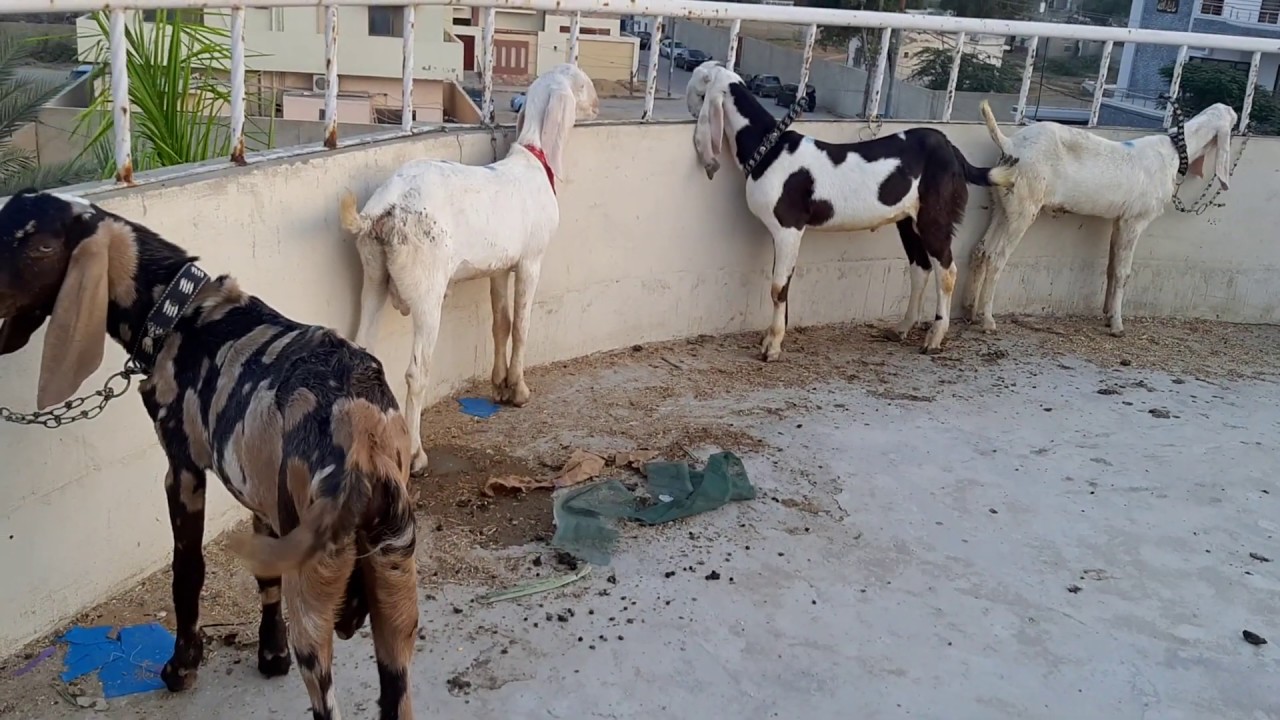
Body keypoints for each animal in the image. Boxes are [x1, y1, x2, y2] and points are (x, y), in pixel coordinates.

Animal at [0, 191, 420, 720]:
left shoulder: (181, 466)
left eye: (38, 246)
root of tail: (365, 447)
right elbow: (264, 576)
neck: (180, 313)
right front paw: (270, 655)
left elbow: (187, 569)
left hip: (316, 596)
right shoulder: (260, 491)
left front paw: (182, 667)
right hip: (396, 585)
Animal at [340, 63, 599, 473]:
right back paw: (416, 454)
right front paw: (519, 389)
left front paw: (499, 384)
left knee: (363, 345)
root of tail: (383, 210)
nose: (599, 102)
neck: (534, 161)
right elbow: (522, 324)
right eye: (583, 84)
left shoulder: (498, 267)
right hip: (427, 289)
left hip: (373, 274)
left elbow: (500, 322)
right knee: (416, 371)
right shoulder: (531, 260)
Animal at [686, 62, 1015, 358]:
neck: (770, 147)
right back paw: (901, 328)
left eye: (698, 84)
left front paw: (772, 347)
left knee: (946, 271)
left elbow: (778, 286)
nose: (689, 106)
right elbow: (783, 284)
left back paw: (934, 338)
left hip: (934, 215)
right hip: (908, 221)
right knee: (920, 268)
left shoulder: (789, 227)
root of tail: (952, 150)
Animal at [963, 100, 1237, 337]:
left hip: (1002, 203)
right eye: (1233, 118)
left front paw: (1107, 314)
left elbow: (1111, 266)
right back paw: (988, 321)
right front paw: (1117, 325)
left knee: (981, 249)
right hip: (1024, 203)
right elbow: (1124, 271)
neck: (1174, 151)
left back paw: (971, 313)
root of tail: (1009, 143)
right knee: (997, 256)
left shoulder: (1119, 220)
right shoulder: (1135, 219)